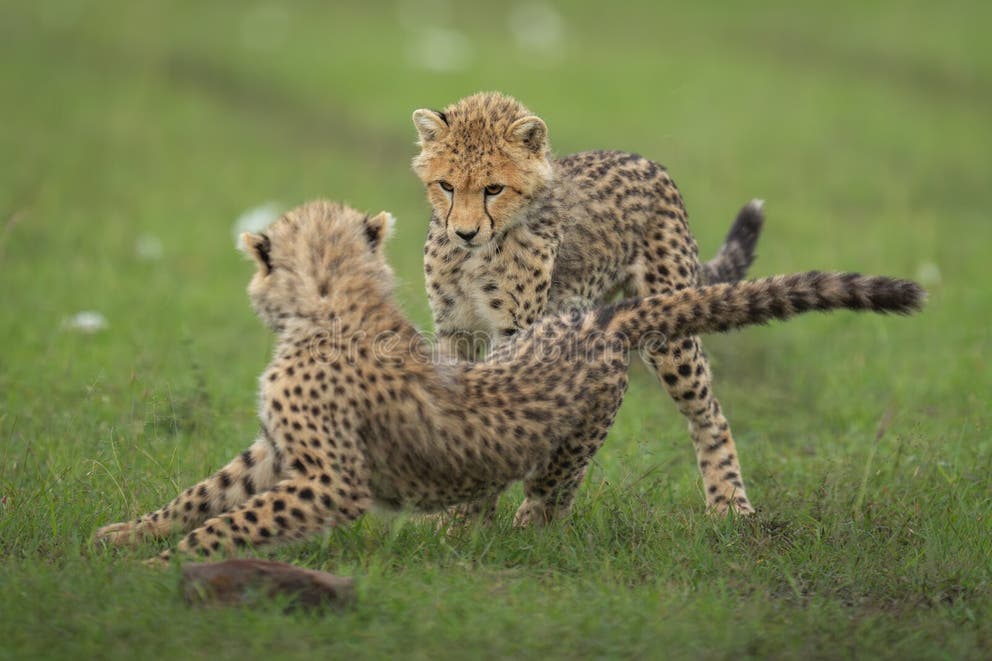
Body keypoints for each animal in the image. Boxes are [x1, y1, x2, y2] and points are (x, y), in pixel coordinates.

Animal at [94, 199, 923, 562]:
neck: (339, 302)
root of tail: (595, 317)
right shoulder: (275, 451)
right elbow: (204, 494)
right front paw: (124, 537)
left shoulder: (332, 479)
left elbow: (234, 521)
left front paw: (168, 570)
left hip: (576, 442)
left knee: (557, 497)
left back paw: (510, 534)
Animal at [412, 91, 770, 516]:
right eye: (446, 185)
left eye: (494, 189)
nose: (464, 232)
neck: (475, 256)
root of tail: (645, 161)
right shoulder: (455, 330)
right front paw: (446, 513)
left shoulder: (515, 331)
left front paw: (468, 510)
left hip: (667, 333)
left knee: (709, 413)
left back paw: (729, 502)